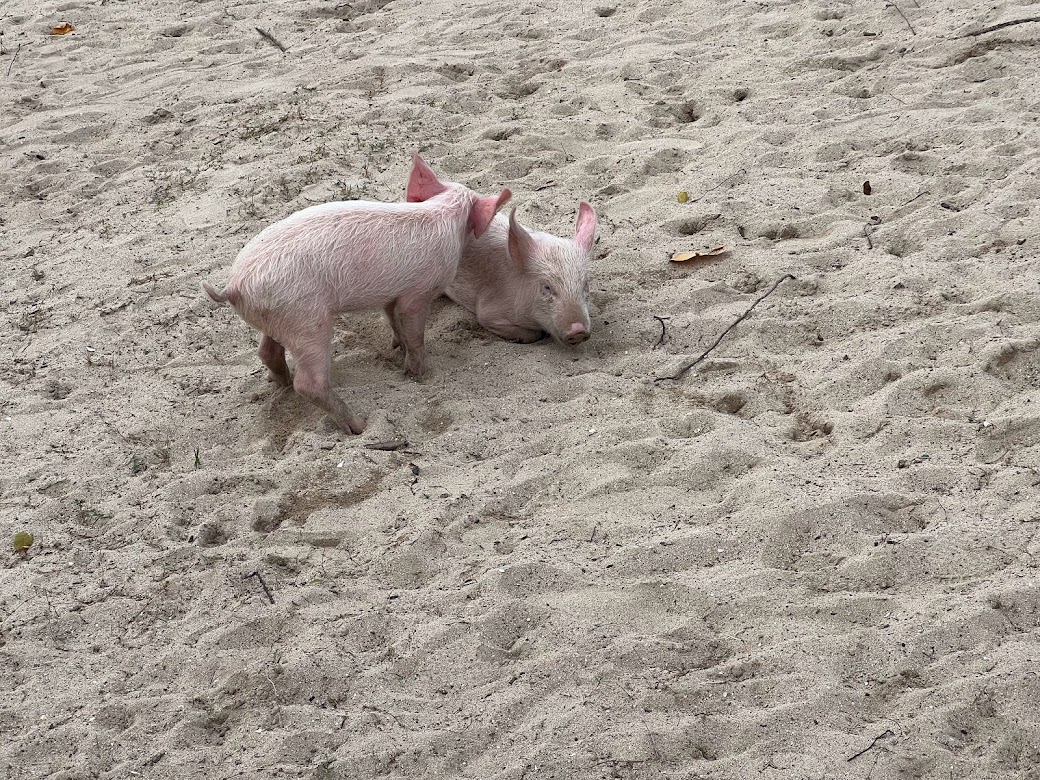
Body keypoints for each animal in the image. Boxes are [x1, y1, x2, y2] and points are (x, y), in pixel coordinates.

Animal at [202, 154, 511, 434]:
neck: (447, 213)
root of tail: (234, 286)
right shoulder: (418, 292)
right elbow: (414, 333)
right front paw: (418, 374)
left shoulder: (392, 293)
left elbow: (393, 320)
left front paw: (397, 349)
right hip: (306, 321)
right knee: (309, 382)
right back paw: (358, 426)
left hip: (279, 317)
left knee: (267, 352)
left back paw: (282, 384)